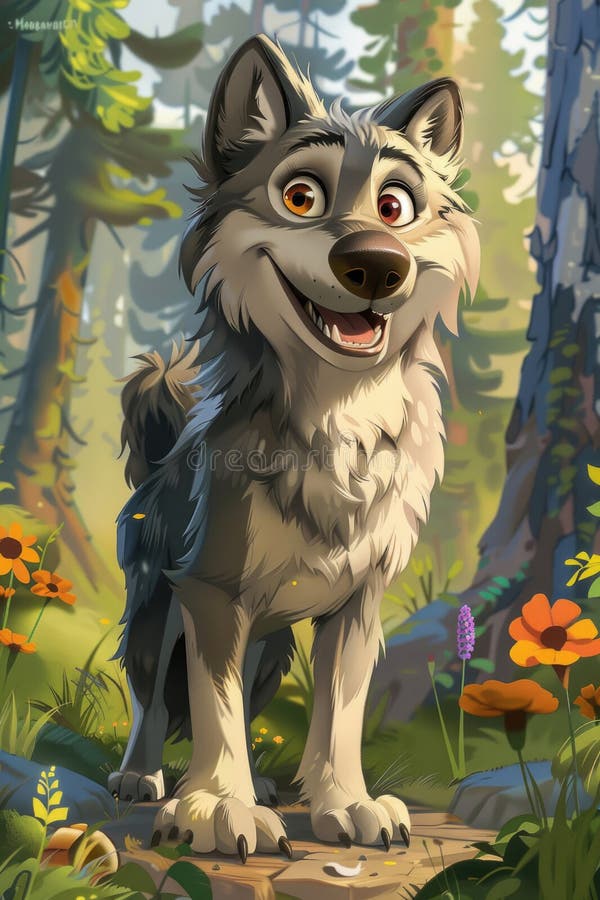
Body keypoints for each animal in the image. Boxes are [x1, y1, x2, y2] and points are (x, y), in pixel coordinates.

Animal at [108, 34, 479, 860]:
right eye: (301, 196)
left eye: (396, 206)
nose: (377, 264)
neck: (337, 420)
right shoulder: (210, 591)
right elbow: (207, 705)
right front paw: (218, 808)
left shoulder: (358, 604)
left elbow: (338, 714)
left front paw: (347, 803)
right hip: (158, 605)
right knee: (152, 700)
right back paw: (145, 779)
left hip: (272, 648)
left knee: (239, 698)